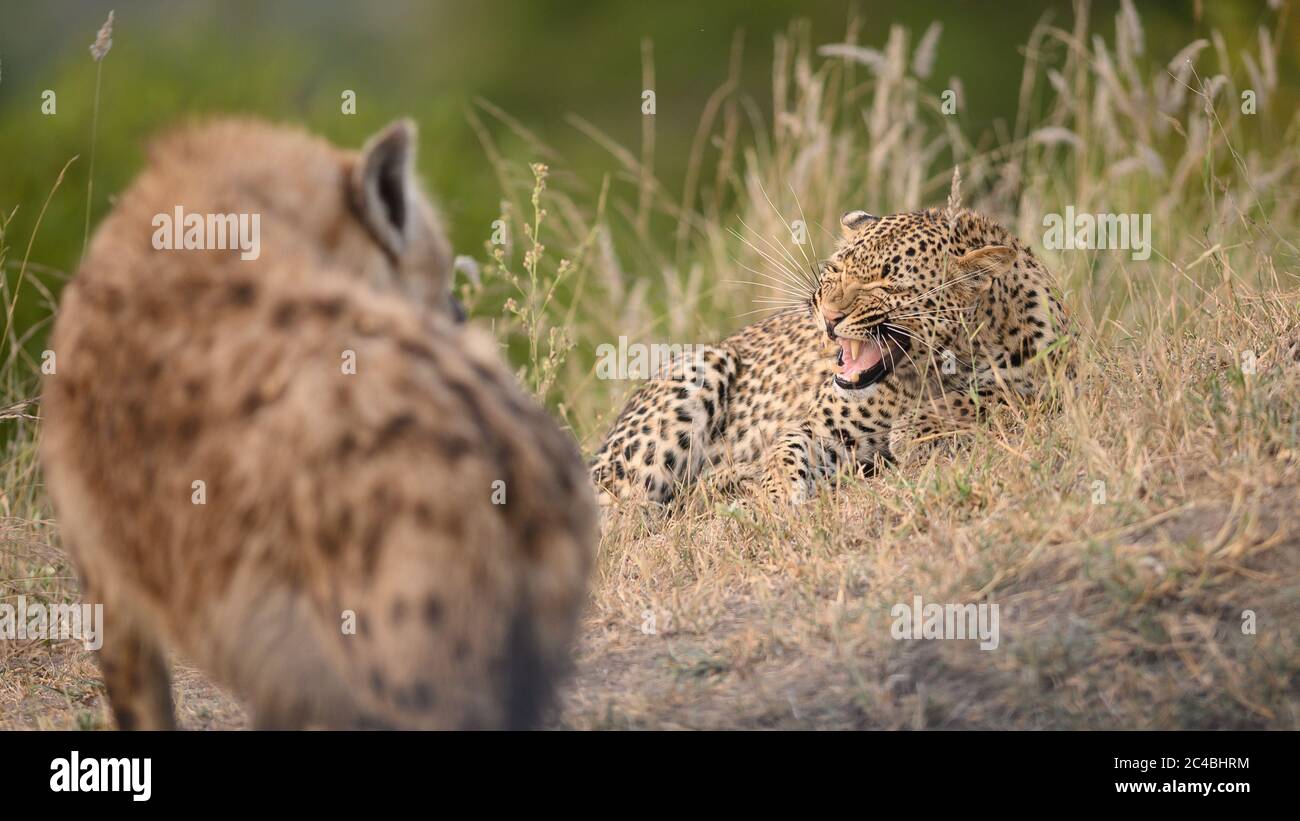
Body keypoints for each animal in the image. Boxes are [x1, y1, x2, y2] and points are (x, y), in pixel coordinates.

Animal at [590, 206, 1070, 506]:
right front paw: (776, 494)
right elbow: (786, 450)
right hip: (699, 368)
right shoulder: (822, 426)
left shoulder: (1062, 377)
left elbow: (998, 394)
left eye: (884, 283)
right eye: (836, 270)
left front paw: (918, 428)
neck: (926, 374)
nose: (829, 315)